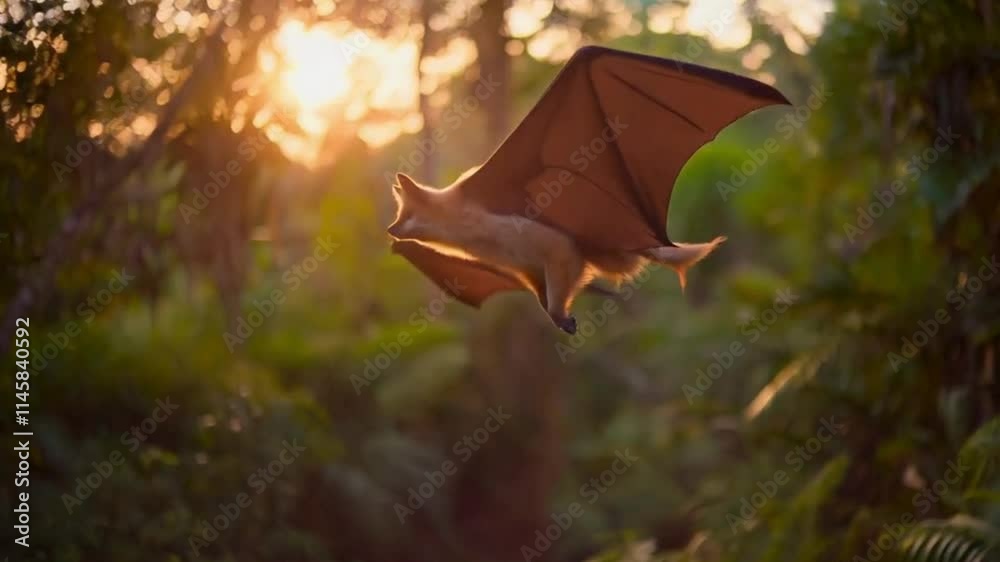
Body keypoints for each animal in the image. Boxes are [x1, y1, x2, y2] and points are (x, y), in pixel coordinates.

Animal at [387, 171, 725, 334]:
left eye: (407, 216)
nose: (390, 230)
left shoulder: (558, 251)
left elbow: (556, 292)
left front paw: (561, 316)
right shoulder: (525, 269)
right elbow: (538, 292)